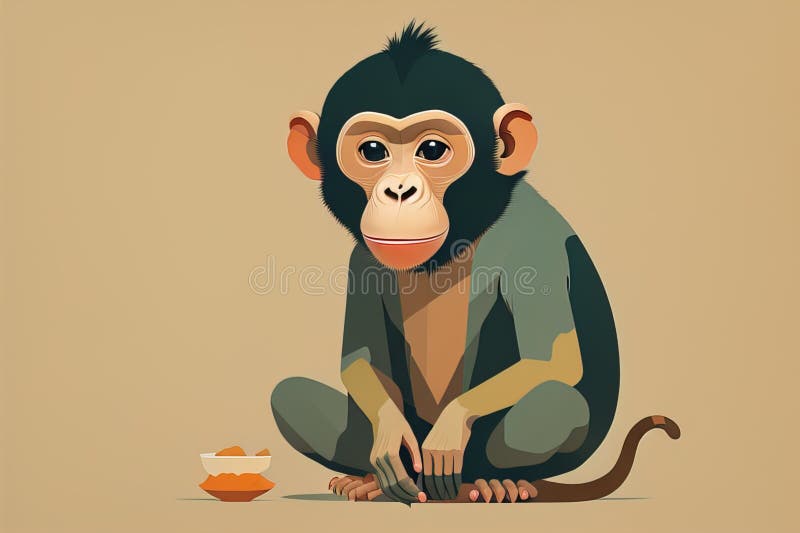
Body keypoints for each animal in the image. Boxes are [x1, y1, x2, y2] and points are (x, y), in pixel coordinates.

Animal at [271, 22, 679, 503]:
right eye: (372, 151)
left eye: (432, 150)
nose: (399, 190)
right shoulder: (362, 257)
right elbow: (359, 359)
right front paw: (388, 438)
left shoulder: (533, 235)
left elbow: (552, 361)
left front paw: (450, 431)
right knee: (289, 396)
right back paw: (367, 480)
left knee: (555, 403)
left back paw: (498, 481)